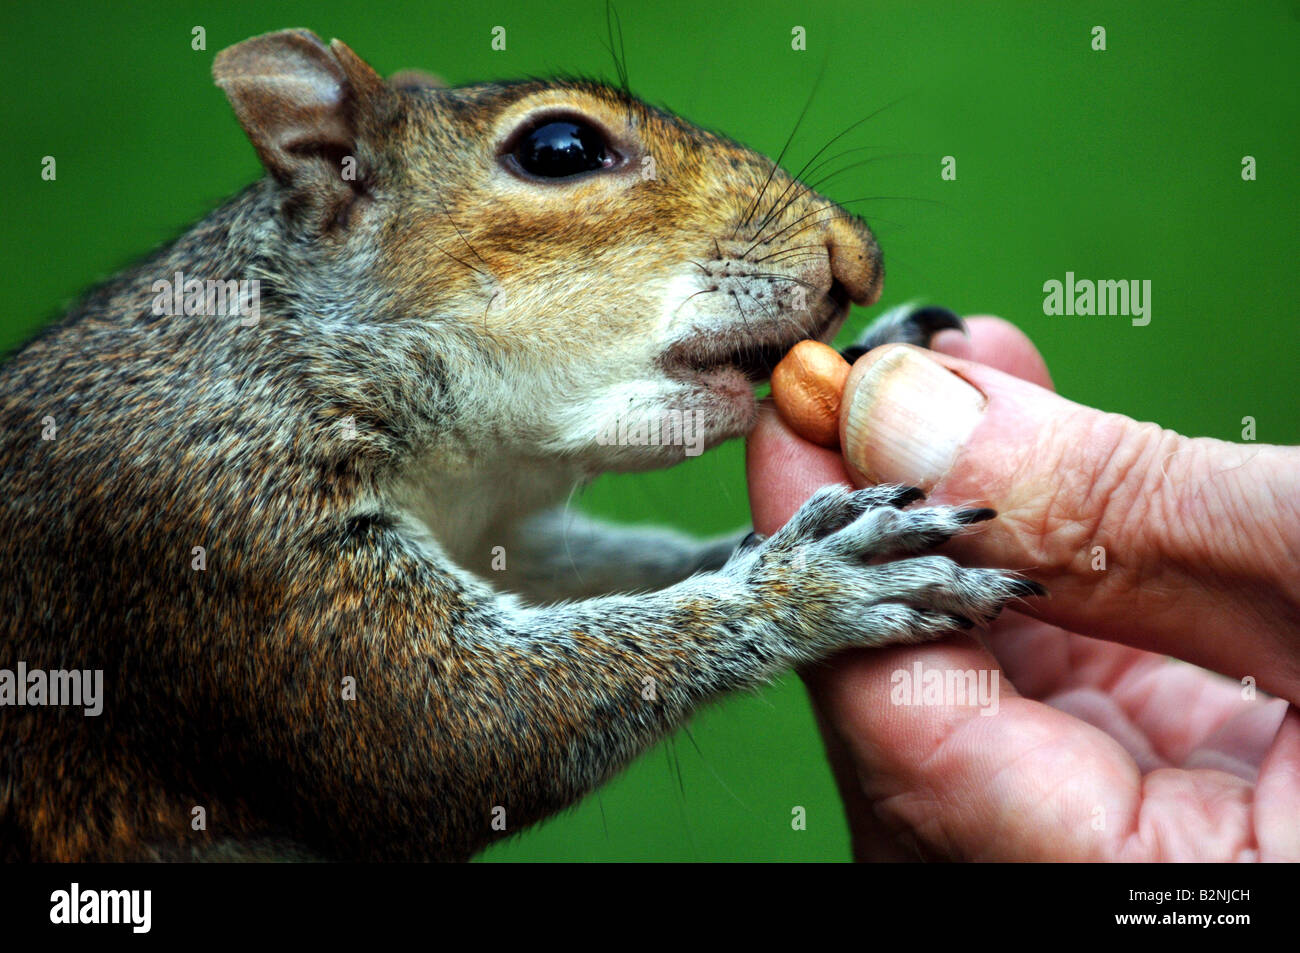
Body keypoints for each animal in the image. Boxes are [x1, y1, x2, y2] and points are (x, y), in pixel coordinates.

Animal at [0, 29, 1040, 861]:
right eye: (560, 149)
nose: (858, 258)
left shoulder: (499, 533)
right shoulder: (213, 516)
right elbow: (450, 732)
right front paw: (814, 581)